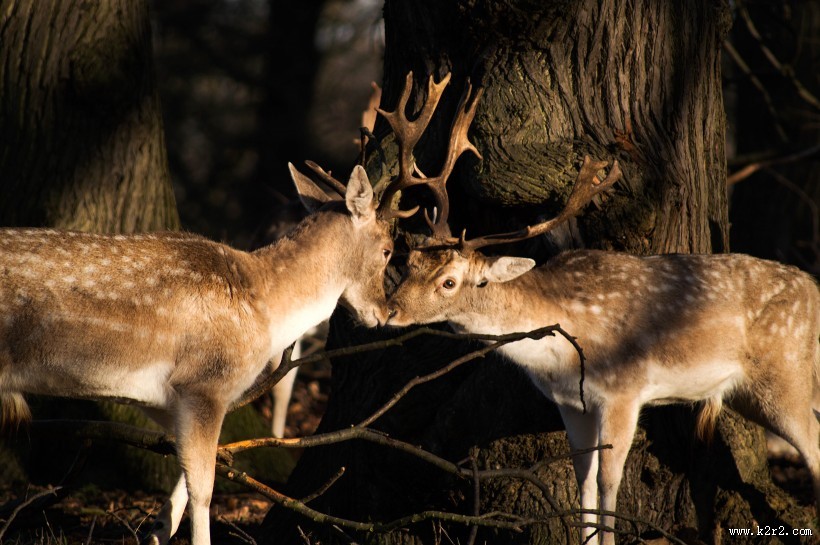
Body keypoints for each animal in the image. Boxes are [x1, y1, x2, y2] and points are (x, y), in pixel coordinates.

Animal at [0, 71, 479, 545]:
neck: (264, 307)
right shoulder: (205, 382)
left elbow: (186, 478)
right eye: (386, 250)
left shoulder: (162, 397)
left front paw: (157, 529)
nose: (383, 313)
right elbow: (204, 490)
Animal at [384, 143, 820, 541]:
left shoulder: (623, 391)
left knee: (813, 447)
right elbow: (584, 478)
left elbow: (610, 480)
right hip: (751, 392)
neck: (560, 356)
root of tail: (814, 288)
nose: (389, 310)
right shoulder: (570, 403)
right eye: (409, 264)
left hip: (785, 375)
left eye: (449, 282)